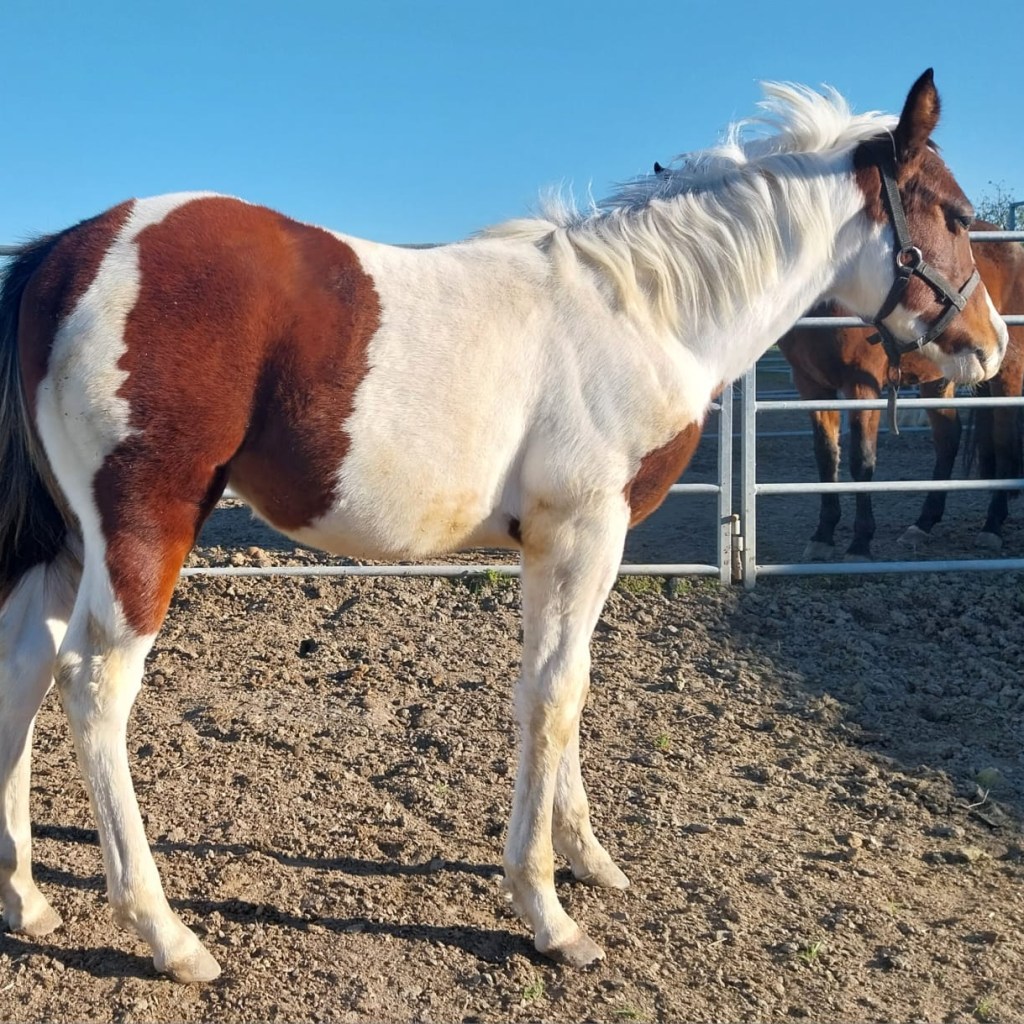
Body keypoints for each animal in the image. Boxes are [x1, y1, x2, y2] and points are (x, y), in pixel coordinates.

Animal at [778, 222, 1024, 561]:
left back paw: (992, 526)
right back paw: (924, 523)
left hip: (1007, 374)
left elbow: (862, 461)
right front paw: (823, 536)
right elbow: (826, 457)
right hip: (939, 379)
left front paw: (860, 543)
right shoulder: (811, 385)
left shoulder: (862, 385)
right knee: (949, 438)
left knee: (1004, 443)